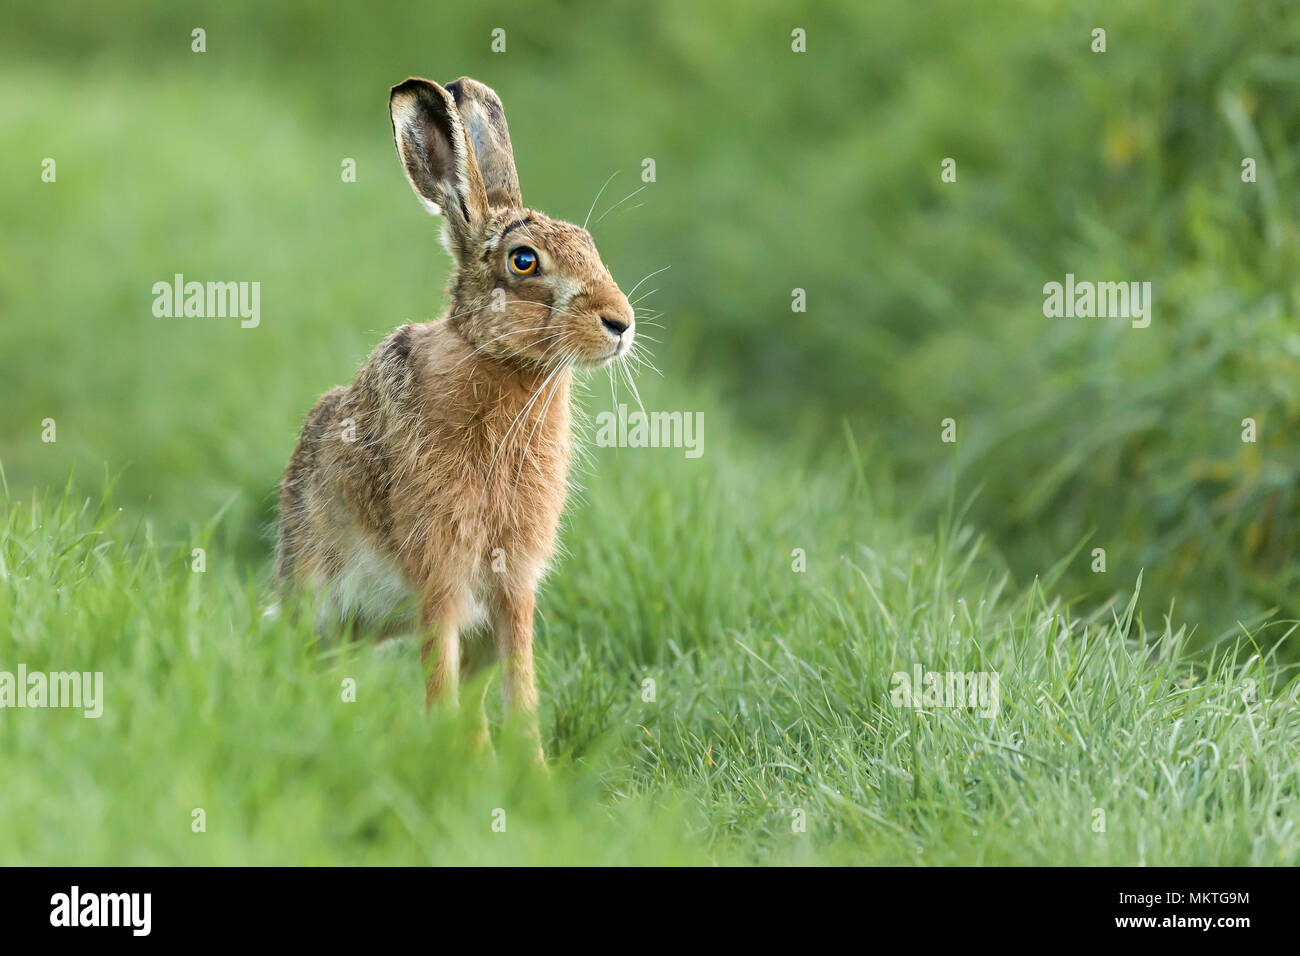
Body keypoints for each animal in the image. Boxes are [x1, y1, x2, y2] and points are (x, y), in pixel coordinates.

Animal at [275, 76, 636, 760]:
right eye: (524, 262)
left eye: (591, 246)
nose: (621, 322)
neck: (497, 361)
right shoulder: (439, 568)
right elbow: (438, 679)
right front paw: (453, 767)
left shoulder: (513, 585)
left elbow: (520, 685)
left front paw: (530, 770)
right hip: (318, 583)